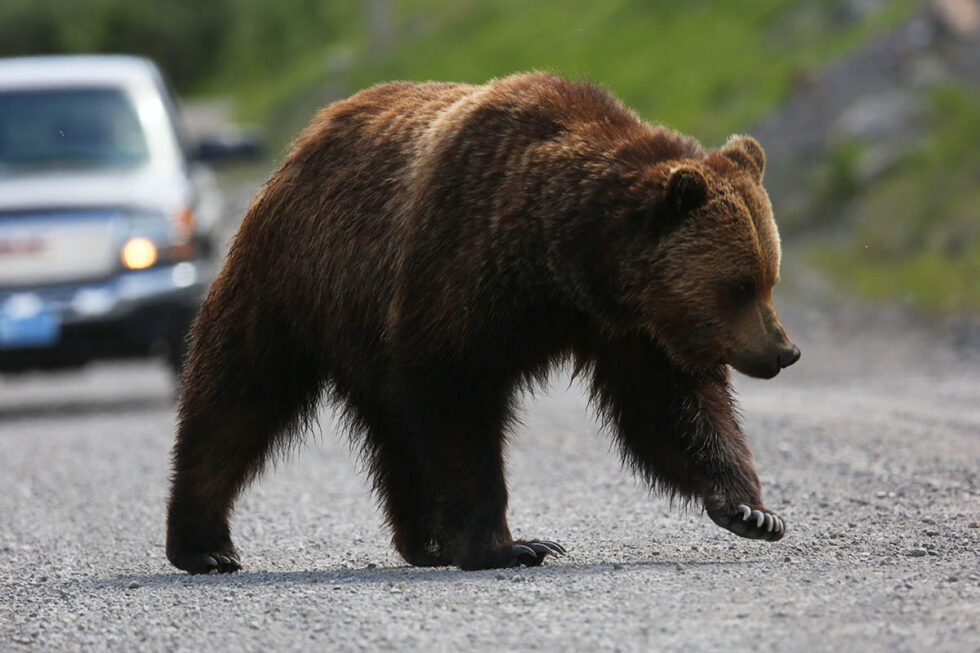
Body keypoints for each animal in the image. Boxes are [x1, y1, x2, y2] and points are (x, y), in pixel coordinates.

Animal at [165, 72, 801, 574]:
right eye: (739, 286)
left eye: (770, 276)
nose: (784, 352)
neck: (564, 262)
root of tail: (304, 142)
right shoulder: (466, 263)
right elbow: (457, 399)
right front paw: (509, 545)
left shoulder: (630, 329)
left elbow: (673, 408)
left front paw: (751, 510)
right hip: (296, 279)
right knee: (237, 398)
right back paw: (204, 547)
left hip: (363, 329)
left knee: (394, 431)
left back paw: (426, 541)